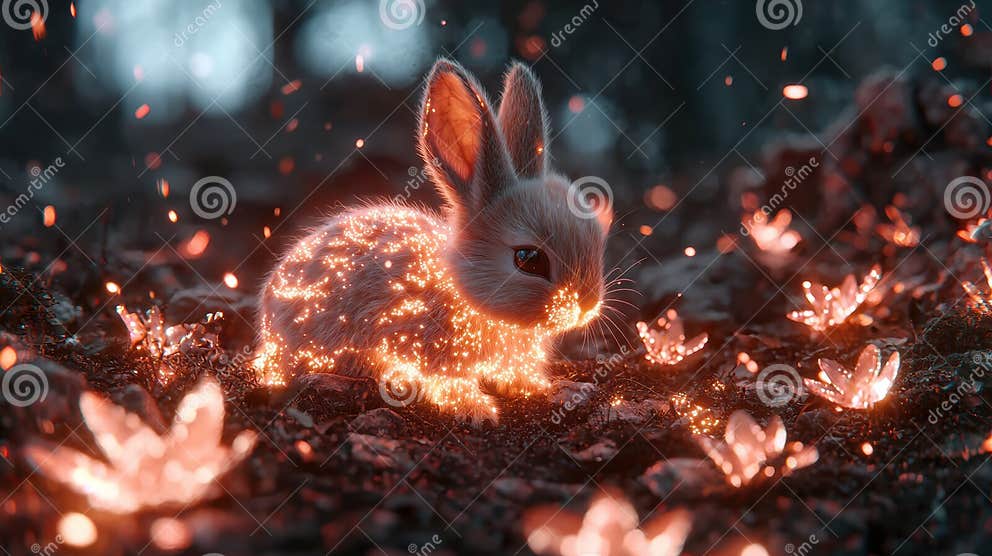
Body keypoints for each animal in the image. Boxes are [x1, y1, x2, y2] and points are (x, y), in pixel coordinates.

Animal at [254, 59, 610, 423]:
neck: (462, 289)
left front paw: (539, 387)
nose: (586, 306)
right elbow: (448, 381)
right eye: (528, 259)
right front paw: (476, 409)